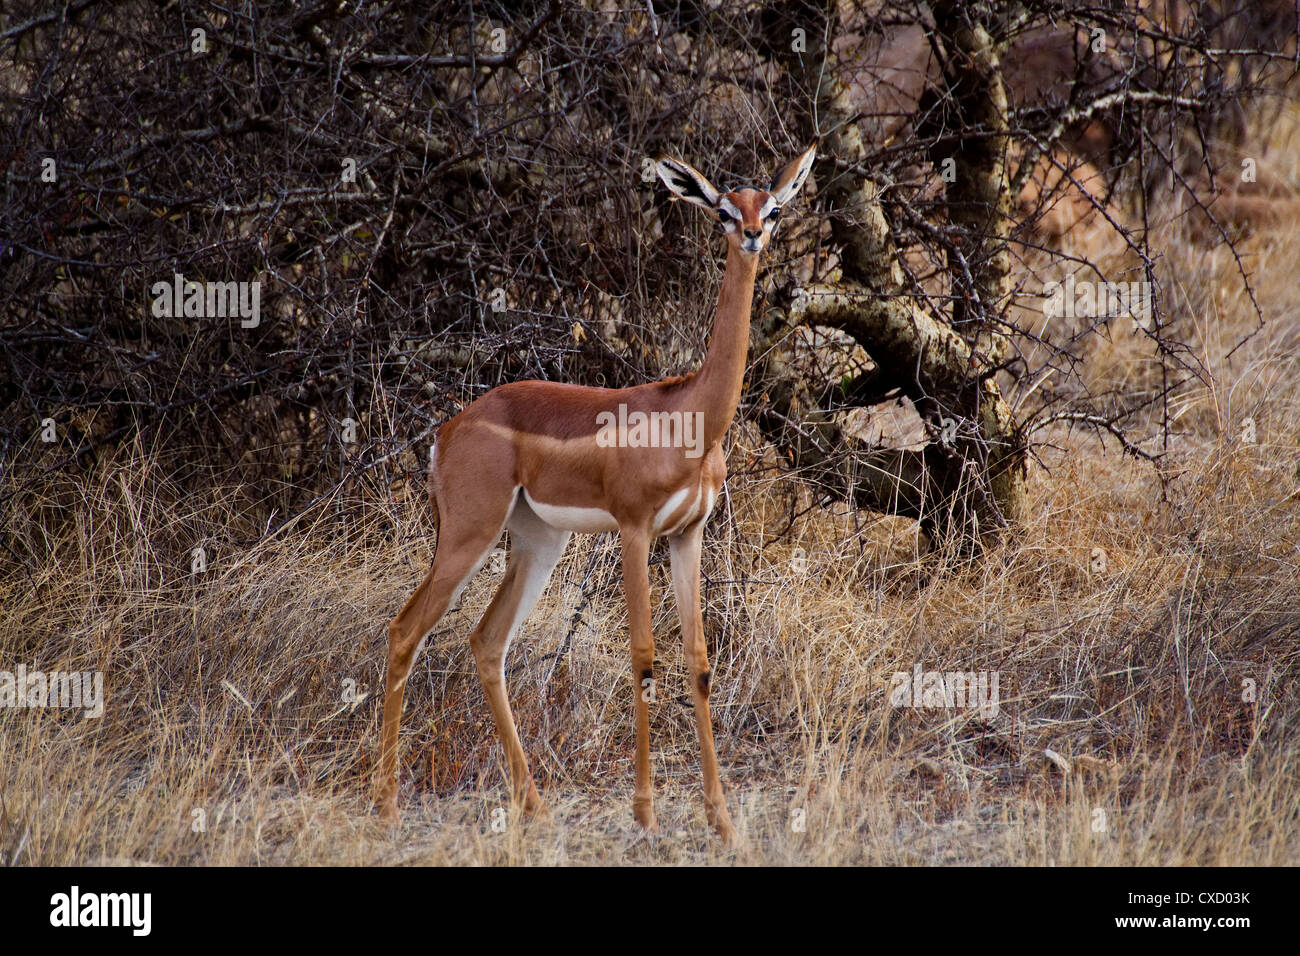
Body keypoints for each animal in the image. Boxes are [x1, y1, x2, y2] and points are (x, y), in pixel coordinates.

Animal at [375, 143, 817, 842]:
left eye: (771, 207)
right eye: (721, 209)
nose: (751, 235)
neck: (689, 417)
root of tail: (450, 430)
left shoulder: (687, 534)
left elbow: (697, 660)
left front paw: (721, 821)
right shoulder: (635, 530)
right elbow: (643, 656)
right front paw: (645, 813)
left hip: (539, 543)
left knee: (487, 642)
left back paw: (536, 806)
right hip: (468, 536)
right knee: (404, 631)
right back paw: (388, 807)